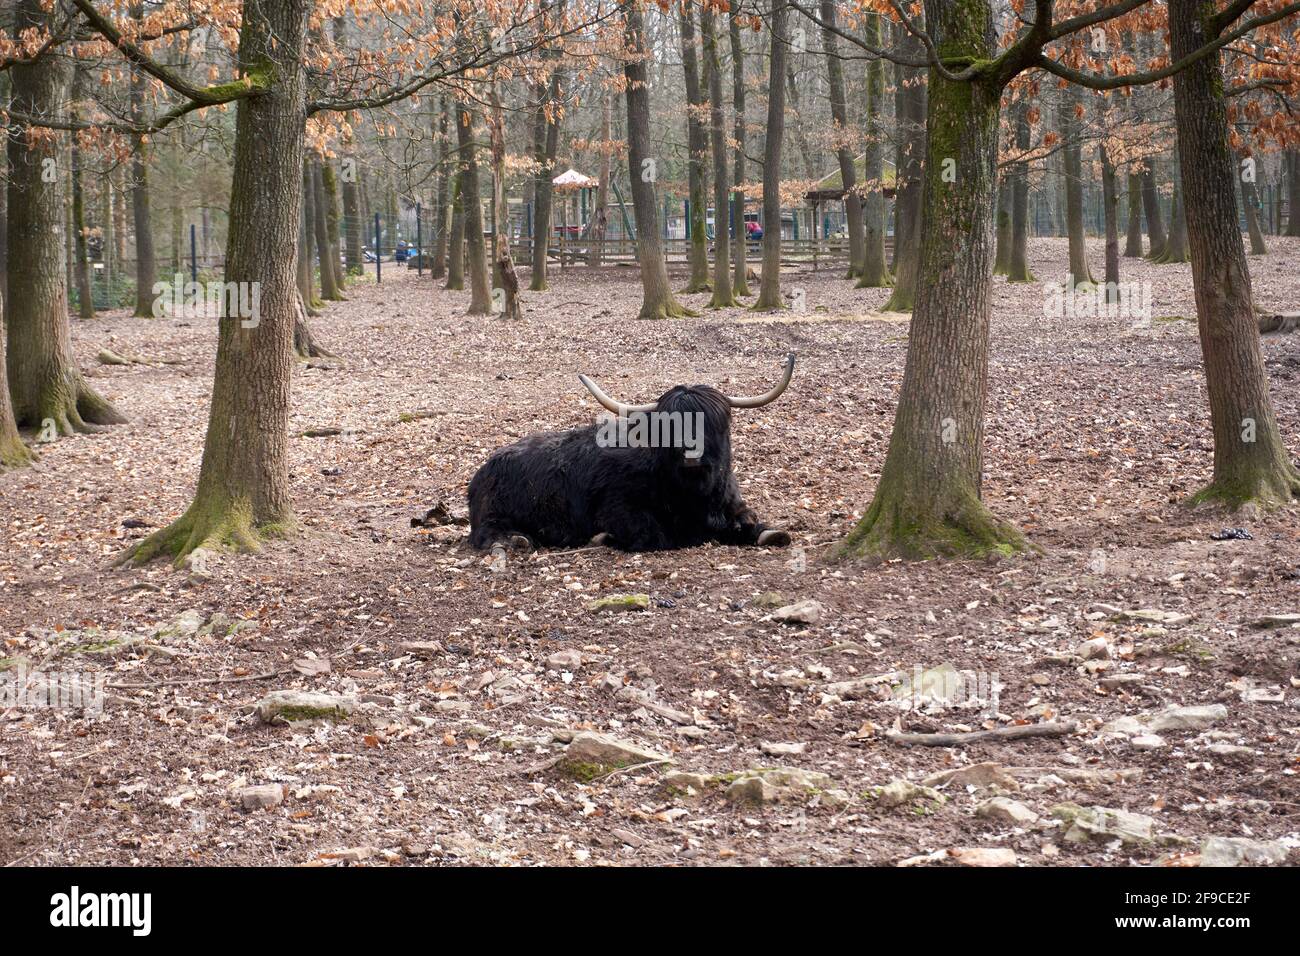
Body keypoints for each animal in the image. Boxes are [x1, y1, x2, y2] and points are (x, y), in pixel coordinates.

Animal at [467, 354, 796, 553]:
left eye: (711, 422)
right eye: (669, 424)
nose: (691, 452)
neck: (693, 494)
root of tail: (485, 467)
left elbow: (753, 523)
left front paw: (772, 533)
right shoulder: (619, 508)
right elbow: (654, 536)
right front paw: (603, 537)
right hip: (493, 514)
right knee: (488, 534)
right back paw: (517, 540)